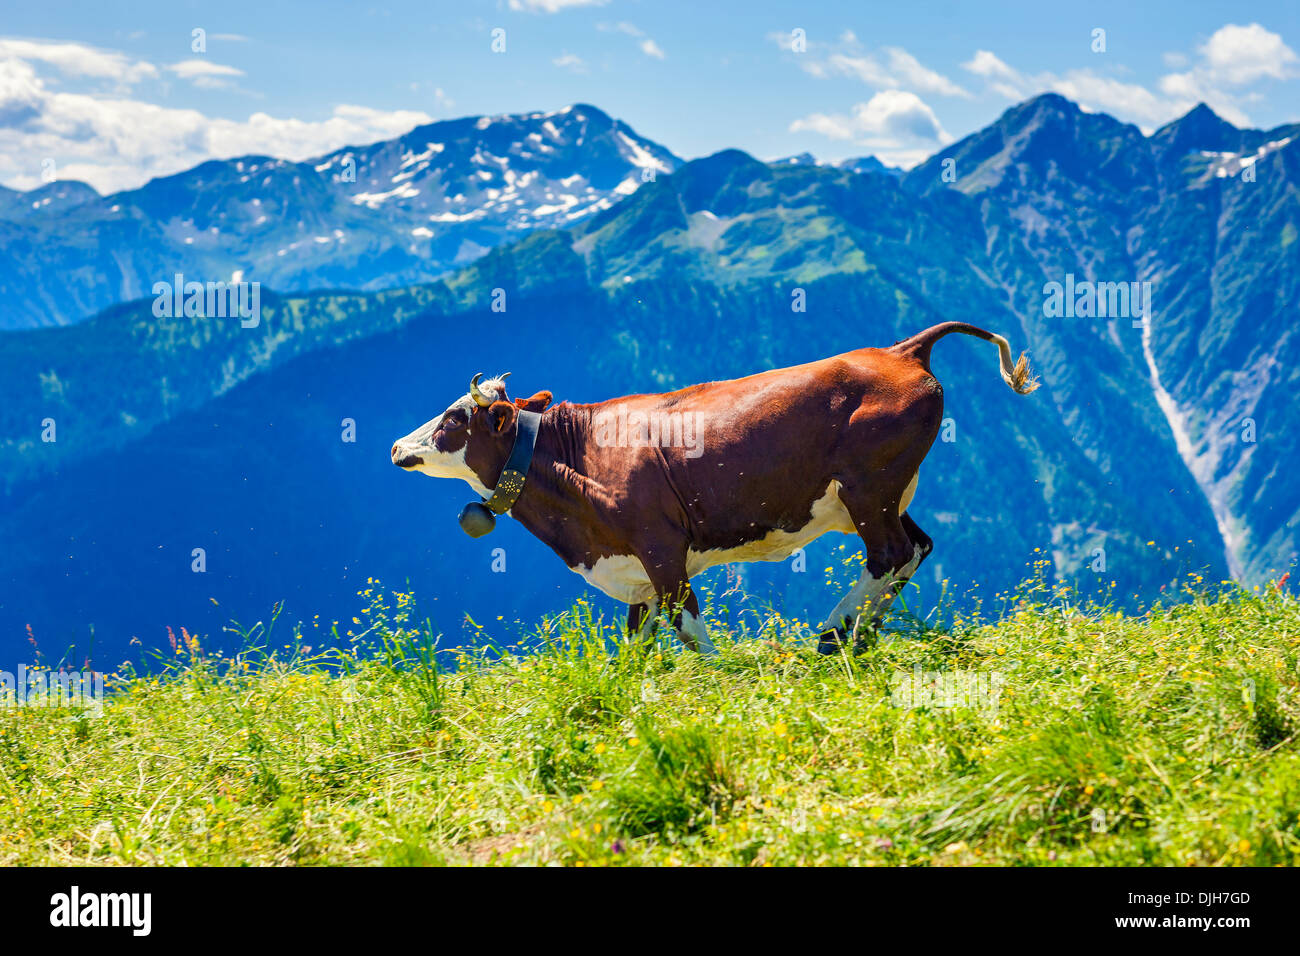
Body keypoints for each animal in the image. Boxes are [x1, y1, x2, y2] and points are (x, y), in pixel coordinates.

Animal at [391, 321, 1038, 655]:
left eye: (454, 418)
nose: (397, 447)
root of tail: (901, 349)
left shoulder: (660, 546)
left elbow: (687, 625)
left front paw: (714, 677)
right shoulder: (633, 566)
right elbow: (636, 642)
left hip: (869, 489)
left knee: (890, 554)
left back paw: (834, 635)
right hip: (879, 496)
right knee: (915, 549)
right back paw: (863, 633)